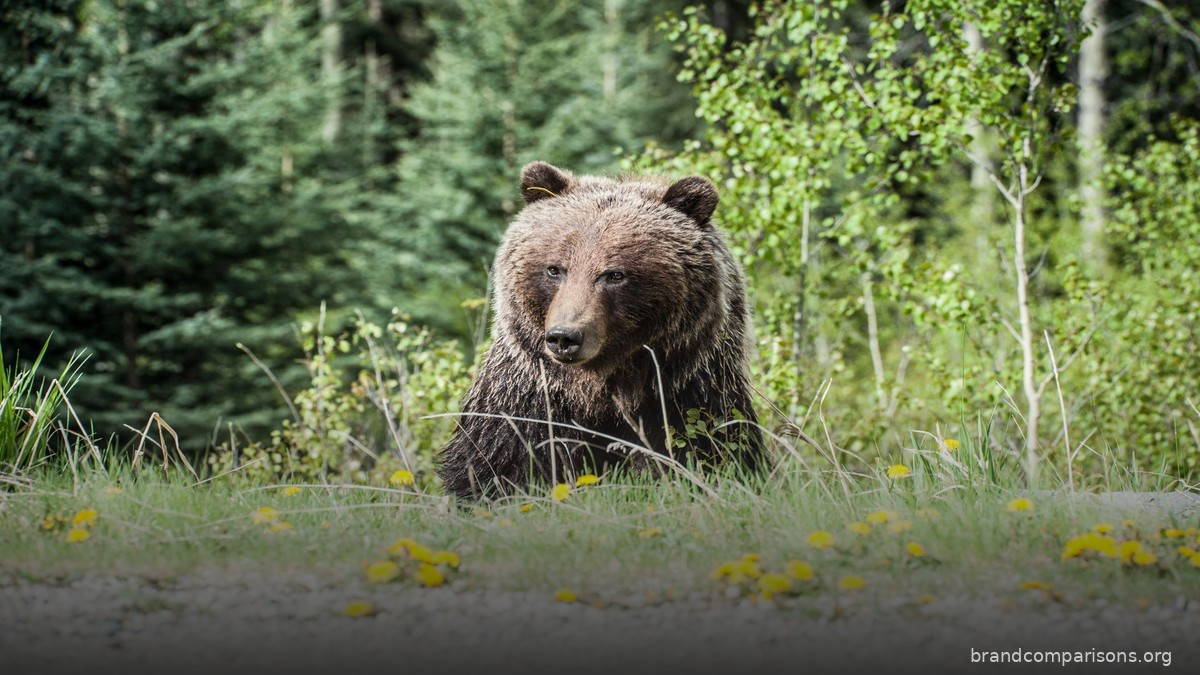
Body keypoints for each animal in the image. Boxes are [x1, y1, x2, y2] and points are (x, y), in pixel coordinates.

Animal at [437, 161, 763, 499]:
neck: (600, 389)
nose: (564, 337)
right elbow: (498, 464)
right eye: (554, 269)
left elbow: (707, 452)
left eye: (614, 274)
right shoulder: (527, 400)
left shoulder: (688, 394)